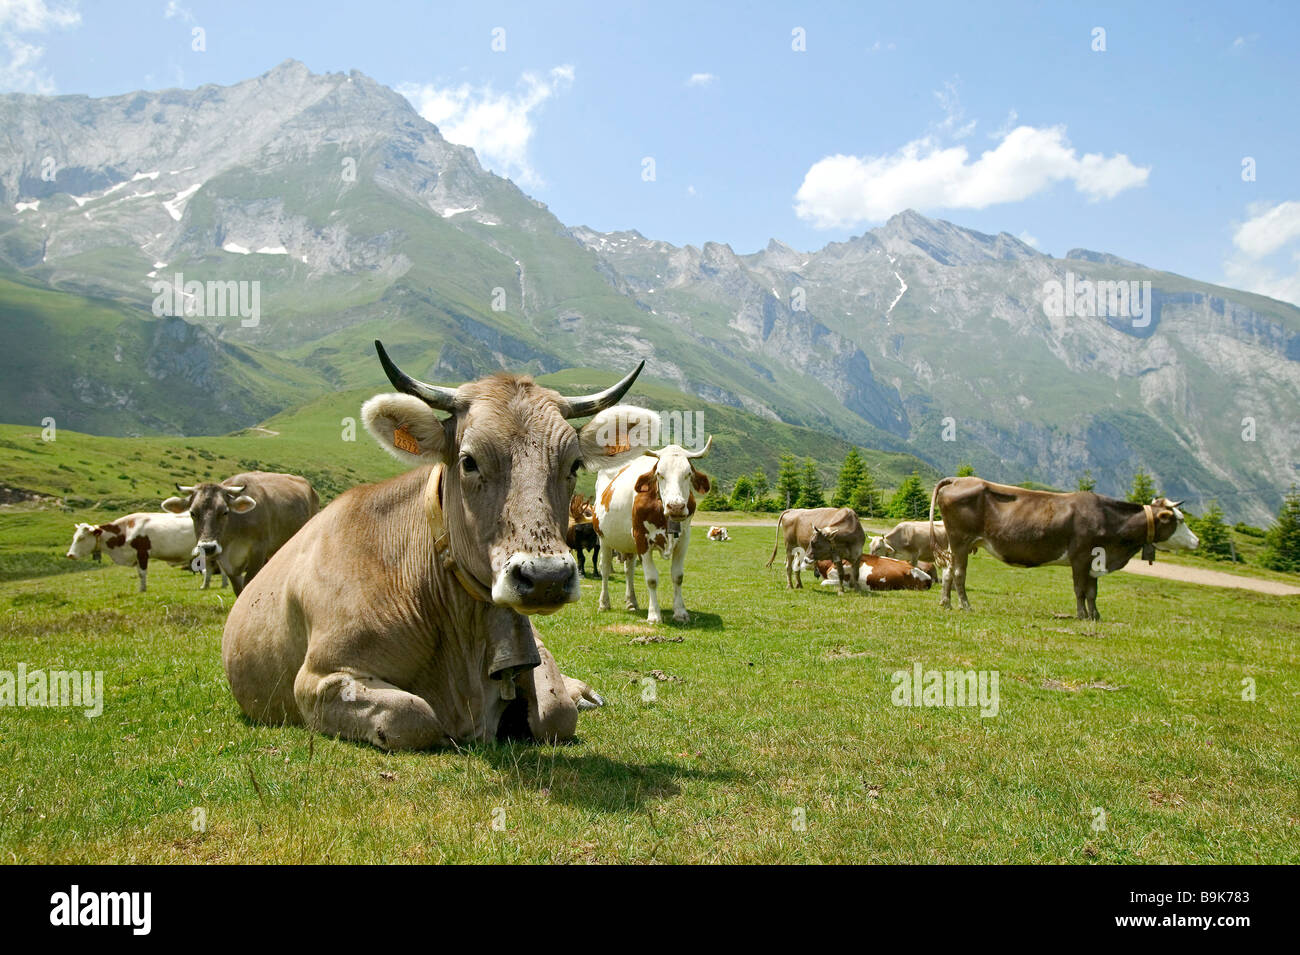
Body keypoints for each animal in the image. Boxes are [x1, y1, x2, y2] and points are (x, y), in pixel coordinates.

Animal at [65, 512, 225, 592]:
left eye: (81, 538)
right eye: (74, 537)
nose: (70, 555)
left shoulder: (142, 552)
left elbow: (142, 573)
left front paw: (142, 589)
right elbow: (139, 573)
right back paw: (208, 585)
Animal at [162, 471, 319, 596]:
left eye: (225, 512)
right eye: (192, 513)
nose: (208, 547)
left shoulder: (258, 550)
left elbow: (249, 583)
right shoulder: (226, 561)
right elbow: (238, 588)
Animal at [219, 342, 652, 750]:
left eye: (575, 465)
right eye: (469, 461)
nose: (546, 578)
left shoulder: (533, 652)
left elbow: (557, 712)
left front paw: (566, 697)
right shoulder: (319, 679)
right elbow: (415, 716)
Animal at [593, 436, 713, 624]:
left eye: (688, 474)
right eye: (659, 474)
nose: (676, 506)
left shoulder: (684, 539)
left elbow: (678, 576)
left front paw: (680, 612)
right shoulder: (642, 539)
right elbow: (651, 579)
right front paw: (654, 614)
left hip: (629, 543)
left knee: (629, 570)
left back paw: (631, 602)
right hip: (604, 539)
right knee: (604, 569)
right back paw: (604, 603)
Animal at [930, 476, 1200, 620]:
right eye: (1179, 519)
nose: (1196, 541)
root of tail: (959, 479)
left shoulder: (1095, 561)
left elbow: (1092, 591)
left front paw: (1095, 616)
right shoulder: (1080, 556)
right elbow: (1080, 590)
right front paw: (1082, 615)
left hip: (957, 544)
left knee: (948, 572)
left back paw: (946, 603)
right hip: (961, 540)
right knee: (959, 574)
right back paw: (966, 605)